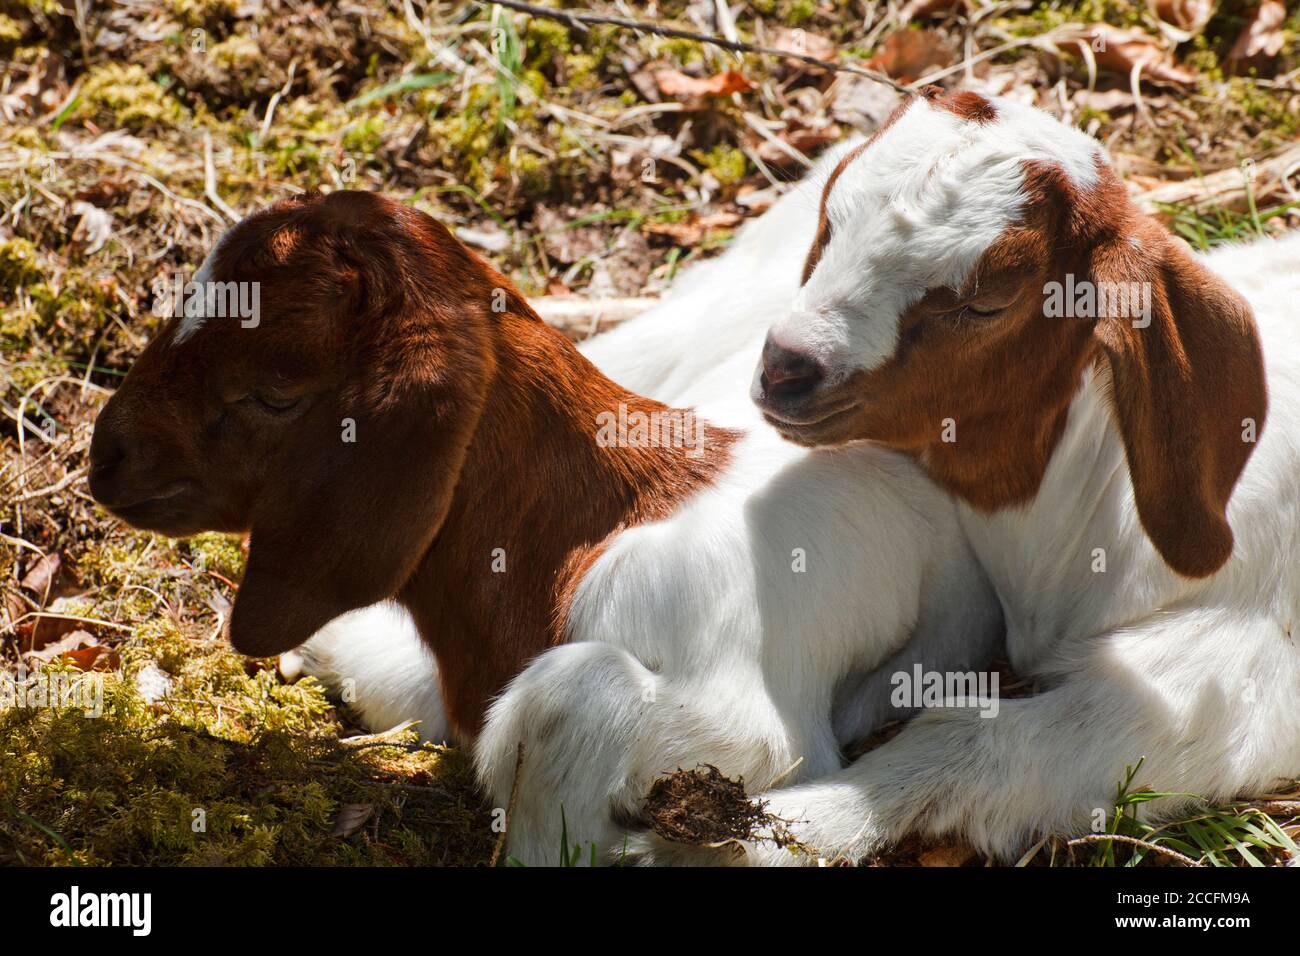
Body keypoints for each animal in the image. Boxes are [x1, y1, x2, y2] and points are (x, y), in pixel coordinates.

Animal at [635, 87, 1300, 864]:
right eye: (830, 223)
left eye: (986, 302)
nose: (786, 367)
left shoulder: (1228, 680)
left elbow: (974, 736)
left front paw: (766, 831)